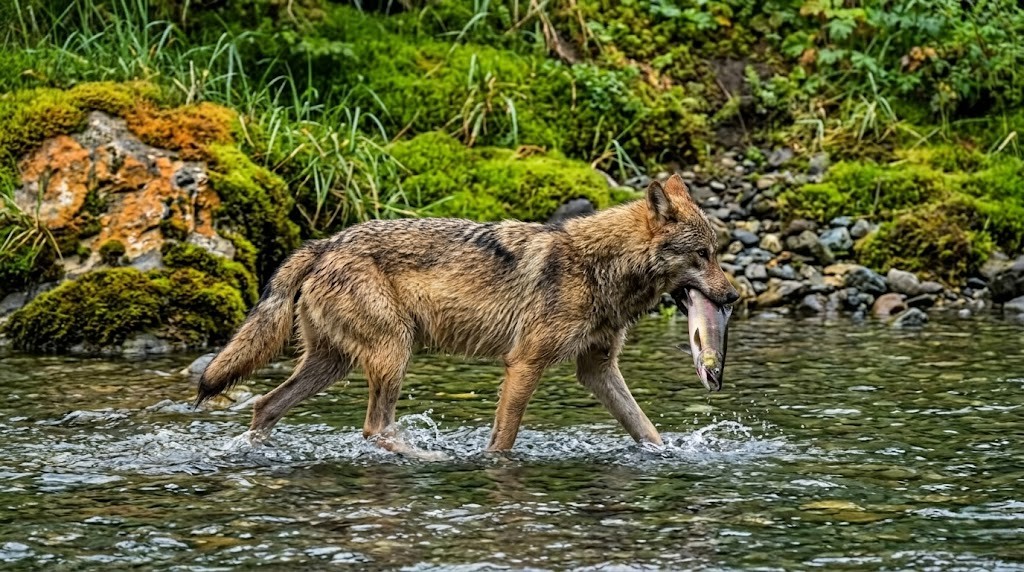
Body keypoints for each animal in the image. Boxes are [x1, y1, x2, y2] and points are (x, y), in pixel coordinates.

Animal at [195, 174, 739, 454]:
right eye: (704, 255)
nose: (734, 296)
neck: (597, 266)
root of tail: (324, 244)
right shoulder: (524, 364)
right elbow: (505, 437)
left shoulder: (597, 370)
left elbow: (645, 427)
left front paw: (668, 456)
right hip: (393, 354)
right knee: (374, 428)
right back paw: (429, 456)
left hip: (334, 364)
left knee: (265, 405)